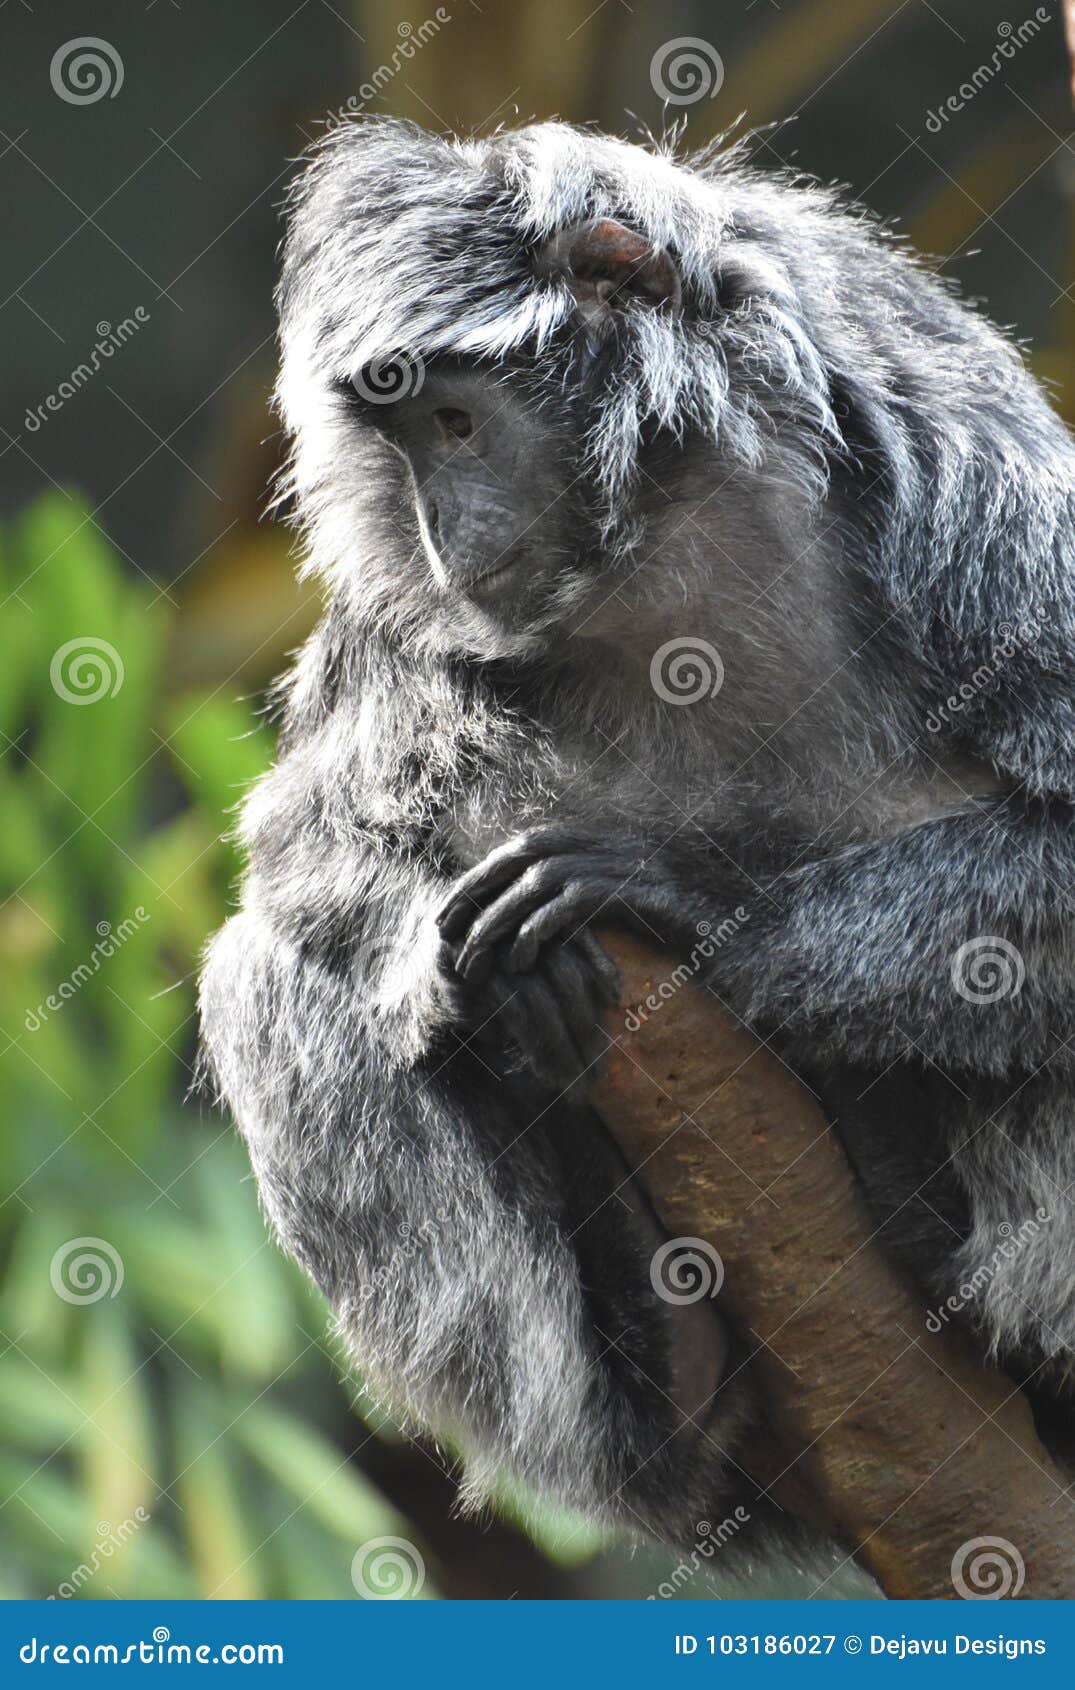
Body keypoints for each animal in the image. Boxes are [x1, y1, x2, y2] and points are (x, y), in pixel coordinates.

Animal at [199, 116, 1075, 1569]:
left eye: (455, 421)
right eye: (398, 440)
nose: (442, 529)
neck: (653, 529)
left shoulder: (928, 430)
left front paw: (691, 908)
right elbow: (307, 862)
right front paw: (468, 995)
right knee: (257, 975)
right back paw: (661, 1351)